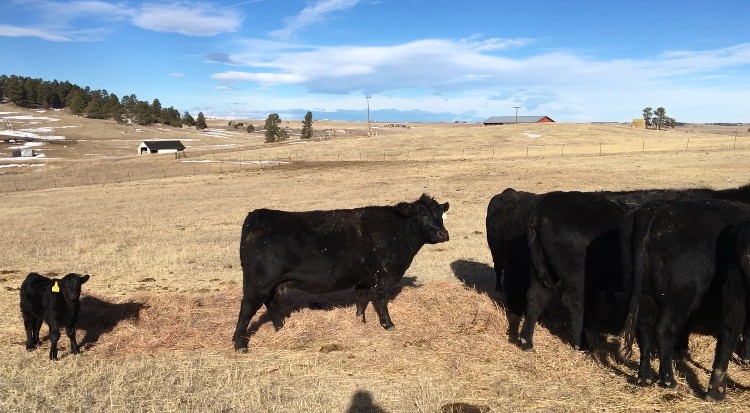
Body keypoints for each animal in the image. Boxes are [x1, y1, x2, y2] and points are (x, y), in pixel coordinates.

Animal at [232, 194, 450, 352]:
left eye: (440, 214)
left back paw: (280, 328)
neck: (398, 229)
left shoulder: (364, 278)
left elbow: (362, 299)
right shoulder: (384, 277)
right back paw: (239, 344)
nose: (443, 234)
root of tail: (260, 214)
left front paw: (360, 321)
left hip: (270, 284)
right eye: (422, 214)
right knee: (247, 308)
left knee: (271, 303)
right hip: (258, 283)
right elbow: (381, 301)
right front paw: (388, 324)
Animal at [520, 184, 750, 352]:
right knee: (575, 303)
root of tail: (547, 201)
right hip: (576, 276)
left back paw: (526, 341)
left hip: (539, 271)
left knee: (536, 297)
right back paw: (582, 344)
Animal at [622, 199, 750, 401]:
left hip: (642, 294)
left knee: (644, 329)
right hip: (679, 298)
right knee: (664, 331)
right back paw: (669, 380)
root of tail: (655, 208)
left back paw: (645, 377)